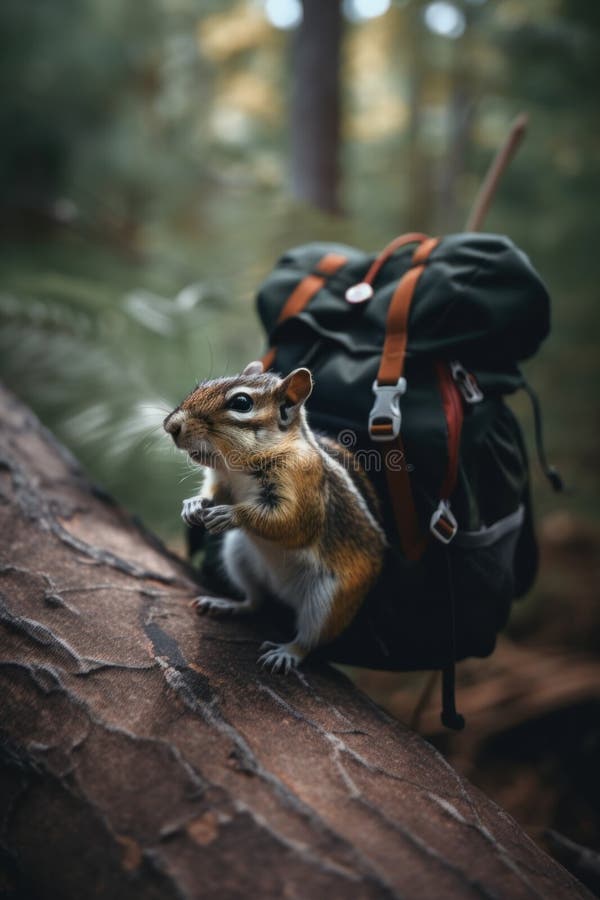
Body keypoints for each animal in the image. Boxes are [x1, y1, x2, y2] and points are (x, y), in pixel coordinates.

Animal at [163, 360, 386, 673]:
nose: (171, 426)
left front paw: (233, 514)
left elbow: (290, 523)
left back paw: (287, 653)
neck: (237, 467)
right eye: (201, 386)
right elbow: (215, 493)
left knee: (309, 637)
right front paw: (194, 504)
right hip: (238, 555)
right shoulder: (224, 481)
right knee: (255, 601)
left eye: (241, 403)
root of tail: (283, 593)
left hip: (329, 599)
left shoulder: (302, 484)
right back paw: (227, 605)